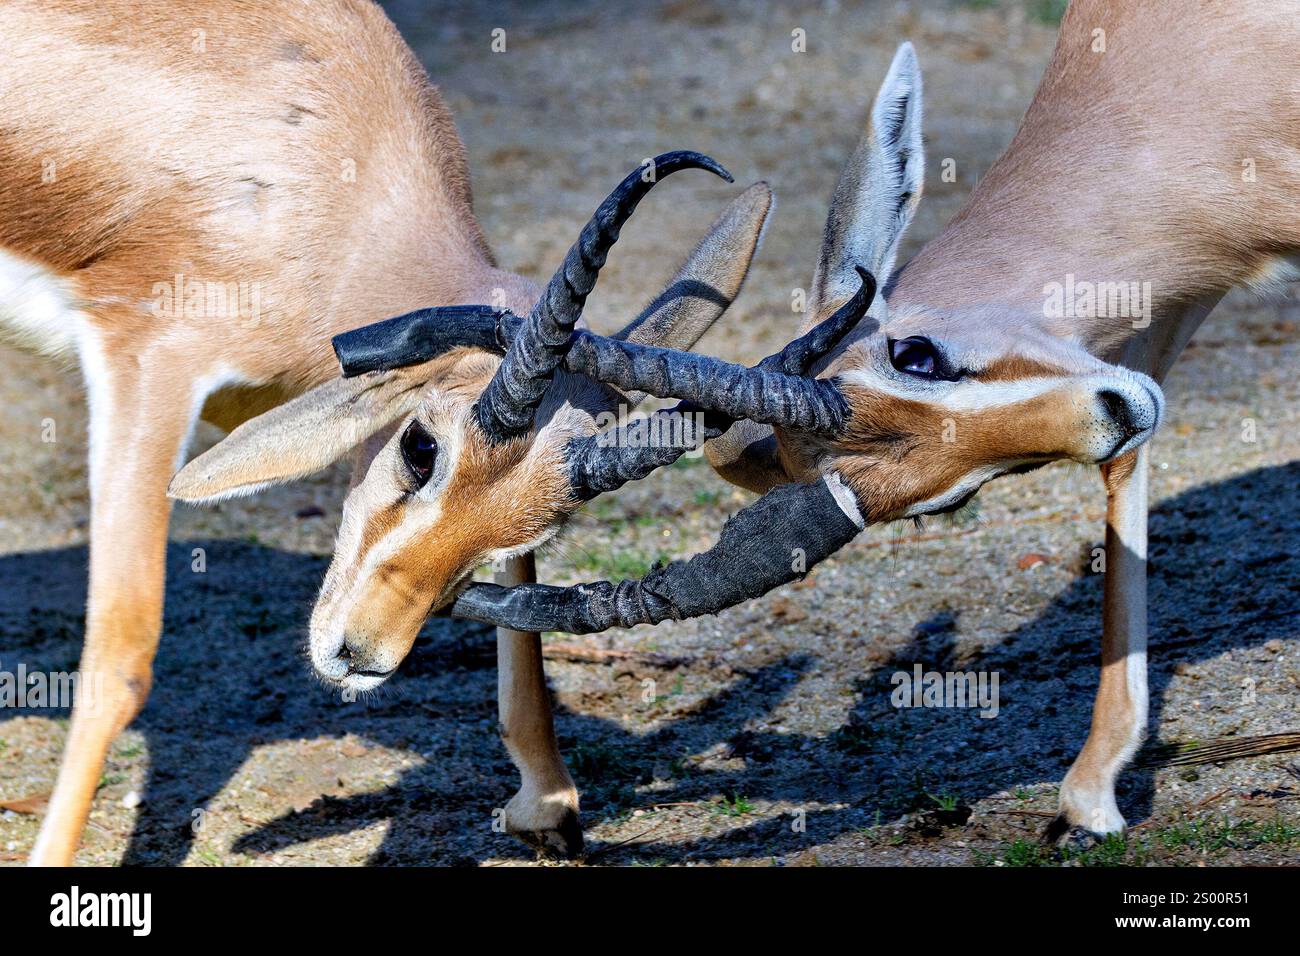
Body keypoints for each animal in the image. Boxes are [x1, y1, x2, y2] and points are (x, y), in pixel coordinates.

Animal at [1, 0, 788, 865]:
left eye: (537, 528)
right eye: (420, 449)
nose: (359, 656)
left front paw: (546, 805)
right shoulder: (150, 364)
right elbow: (123, 648)